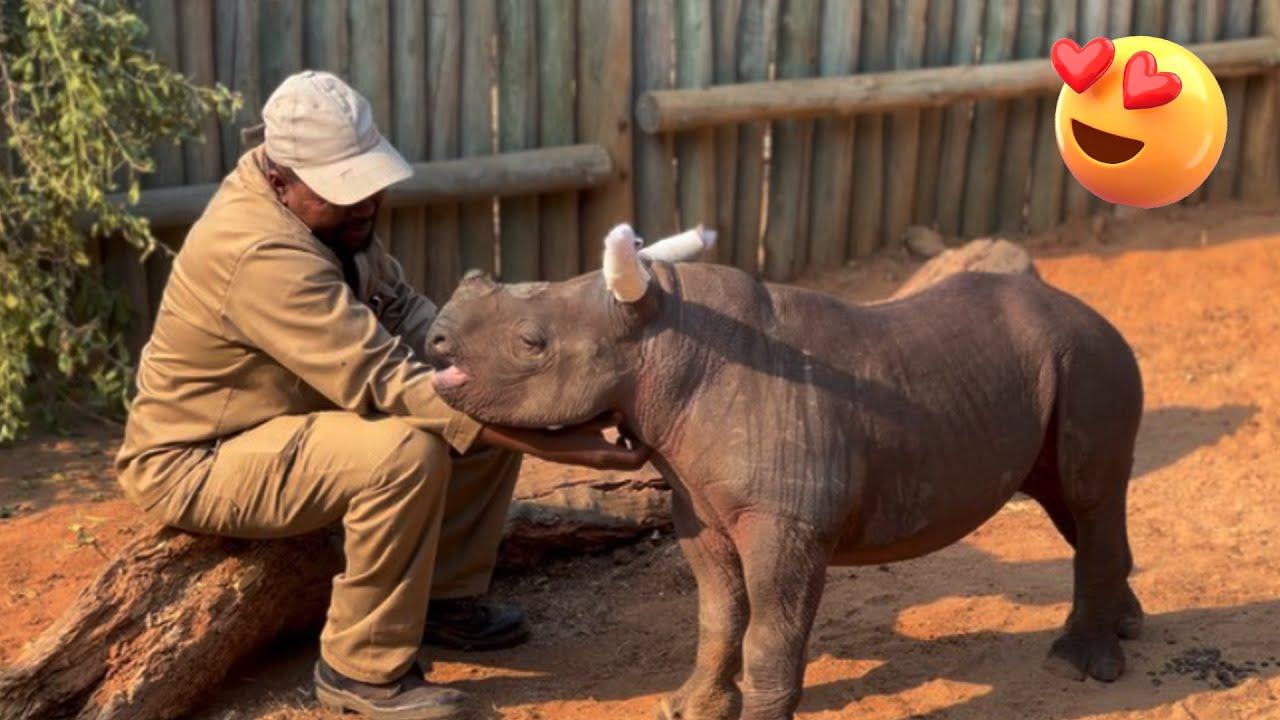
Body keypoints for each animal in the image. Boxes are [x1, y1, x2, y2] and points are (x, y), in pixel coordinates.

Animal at [425, 224, 1145, 720]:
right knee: (1067, 501)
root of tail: (1101, 318)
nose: (433, 339)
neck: (664, 339)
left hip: (1091, 359)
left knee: (1089, 496)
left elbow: (770, 633)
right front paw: (687, 708)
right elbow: (718, 616)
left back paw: (1078, 668)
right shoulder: (698, 506)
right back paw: (1124, 628)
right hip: (1056, 366)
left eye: (530, 344)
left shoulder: (786, 521)